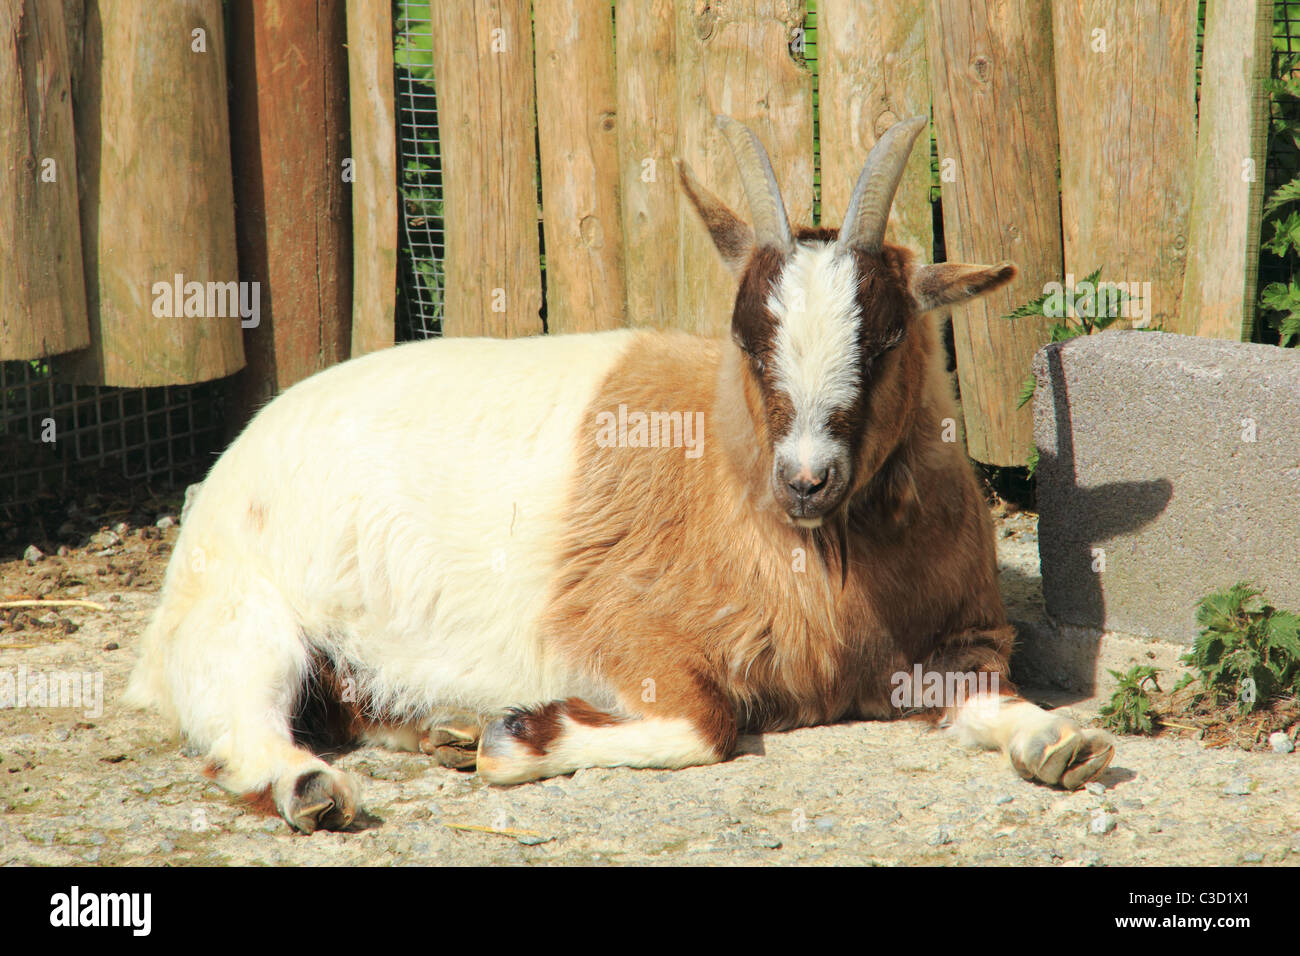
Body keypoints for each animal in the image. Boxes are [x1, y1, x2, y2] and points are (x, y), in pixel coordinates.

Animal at [126, 115, 1114, 832]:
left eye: (894, 331)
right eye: (746, 335)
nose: (806, 480)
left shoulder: (958, 643)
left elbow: (998, 701)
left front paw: (1064, 743)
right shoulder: (620, 628)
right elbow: (705, 725)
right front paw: (519, 740)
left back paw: (443, 728)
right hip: (243, 615)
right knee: (239, 717)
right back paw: (316, 789)